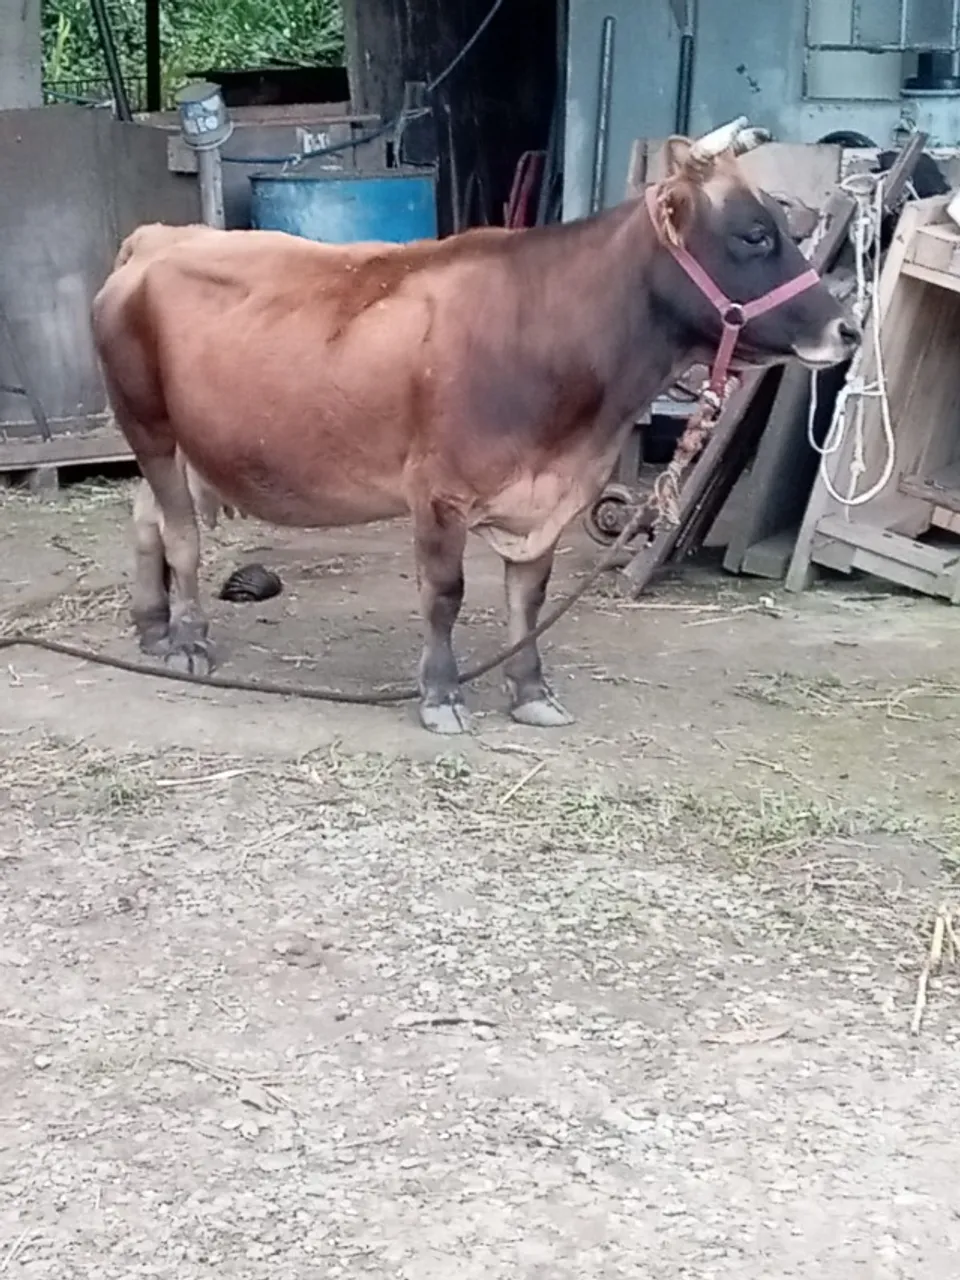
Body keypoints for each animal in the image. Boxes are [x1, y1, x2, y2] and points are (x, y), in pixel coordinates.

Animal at [91, 117, 860, 736]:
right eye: (754, 235)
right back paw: (189, 640)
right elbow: (445, 595)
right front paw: (441, 696)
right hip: (148, 423)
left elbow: (529, 598)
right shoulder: (438, 491)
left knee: (147, 517)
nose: (847, 328)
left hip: (178, 437)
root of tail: (158, 238)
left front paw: (531, 692)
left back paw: (153, 627)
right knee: (182, 534)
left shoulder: (550, 496)